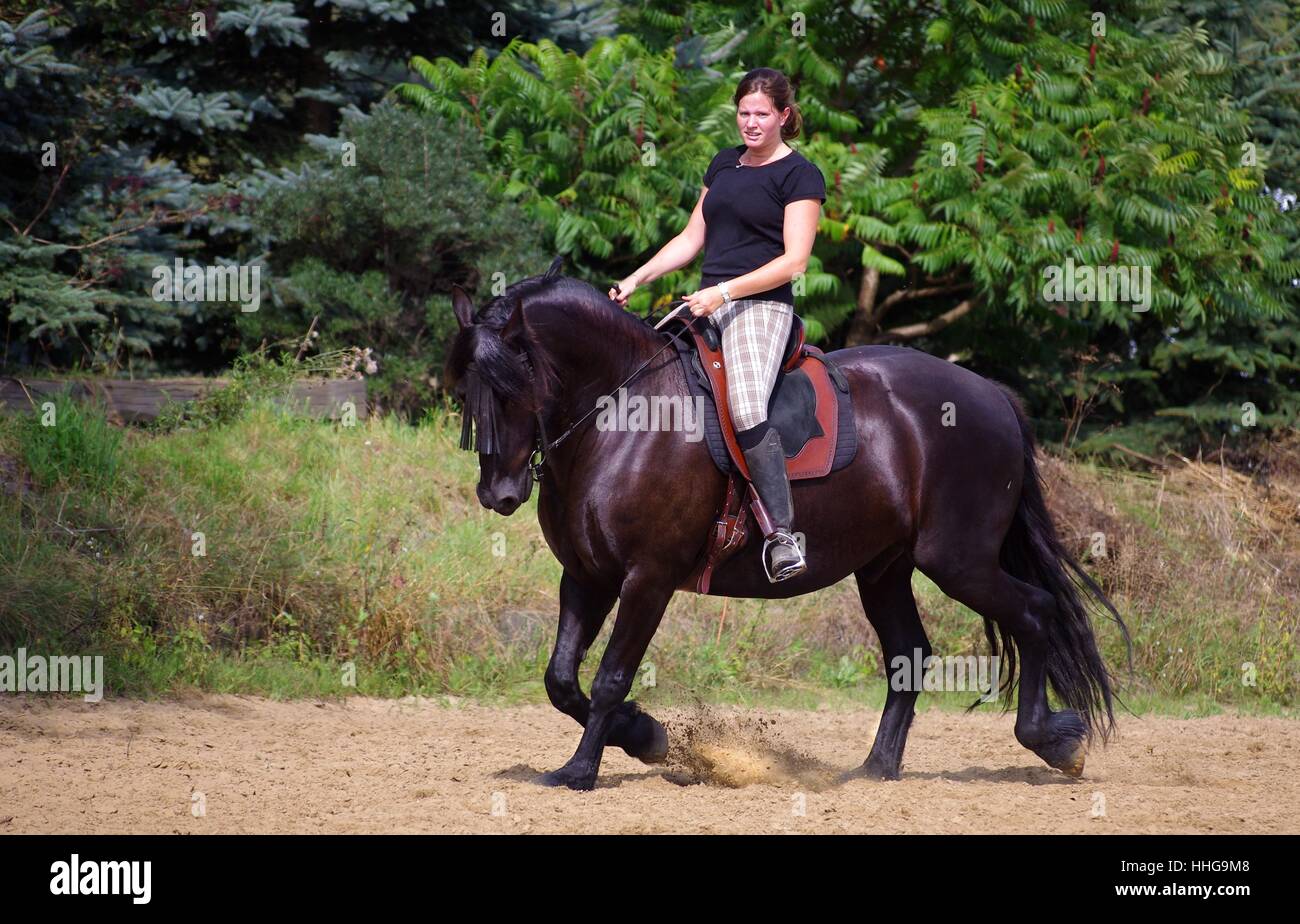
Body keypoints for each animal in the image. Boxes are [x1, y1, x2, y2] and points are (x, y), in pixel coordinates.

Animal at [446, 257, 1128, 791]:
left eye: (513, 385)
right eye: (467, 392)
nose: (498, 493)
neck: (623, 418)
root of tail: (991, 394)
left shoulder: (648, 577)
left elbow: (611, 675)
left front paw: (584, 770)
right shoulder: (587, 575)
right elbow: (560, 679)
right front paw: (645, 736)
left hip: (959, 561)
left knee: (1034, 612)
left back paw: (1054, 742)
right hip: (885, 568)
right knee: (909, 653)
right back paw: (874, 770)